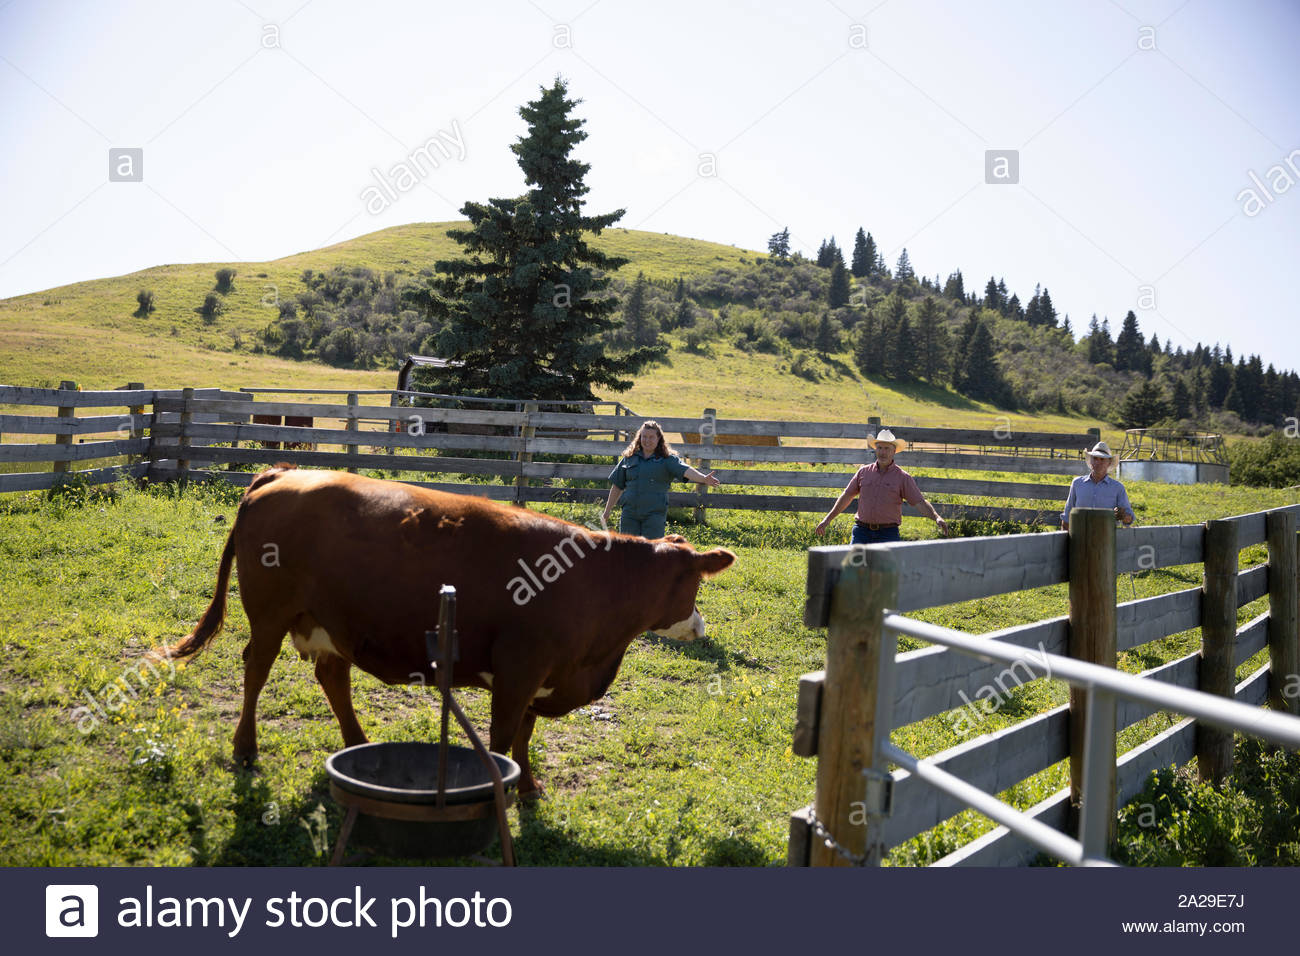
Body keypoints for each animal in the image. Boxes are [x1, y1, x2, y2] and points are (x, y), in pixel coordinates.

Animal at [160, 465, 735, 796]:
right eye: (693, 585)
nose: (701, 627)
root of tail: (282, 474)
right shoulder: (518, 671)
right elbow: (503, 736)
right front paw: (508, 788)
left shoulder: (540, 676)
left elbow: (525, 734)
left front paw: (529, 785)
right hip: (270, 614)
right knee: (255, 671)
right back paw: (246, 747)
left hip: (333, 623)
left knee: (333, 679)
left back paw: (358, 744)